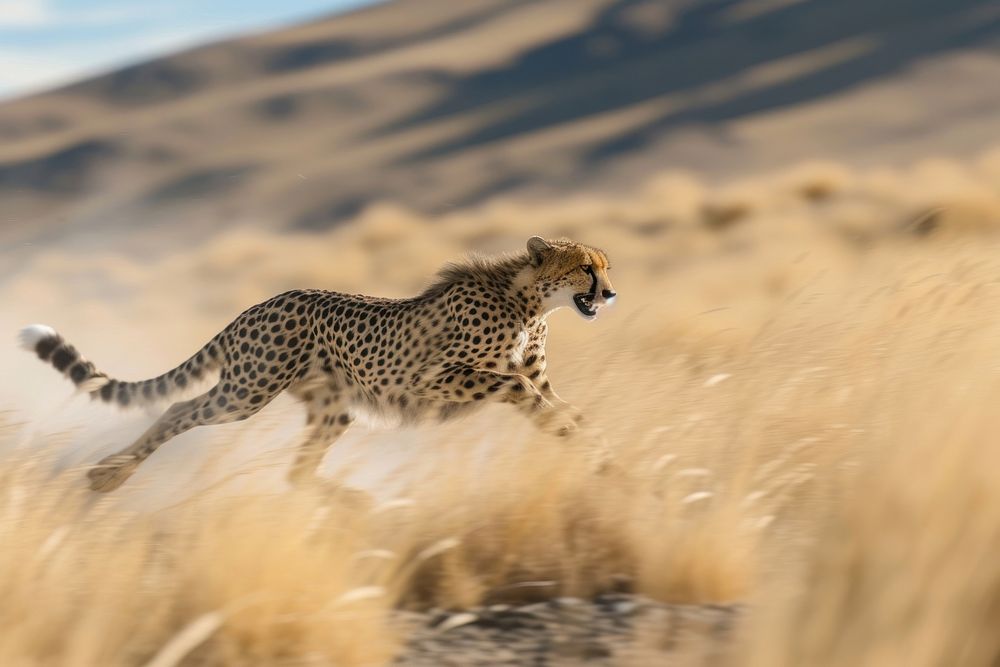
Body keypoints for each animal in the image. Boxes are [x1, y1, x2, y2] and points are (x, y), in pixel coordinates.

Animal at [19, 236, 616, 493]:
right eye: (585, 268)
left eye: (605, 267)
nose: (610, 293)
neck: (529, 303)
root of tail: (259, 304)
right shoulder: (433, 378)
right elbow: (516, 388)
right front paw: (571, 437)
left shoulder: (538, 377)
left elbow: (564, 407)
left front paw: (596, 451)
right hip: (247, 391)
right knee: (179, 410)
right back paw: (109, 474)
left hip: (333, 407)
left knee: (298, 472)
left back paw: (356, 503)